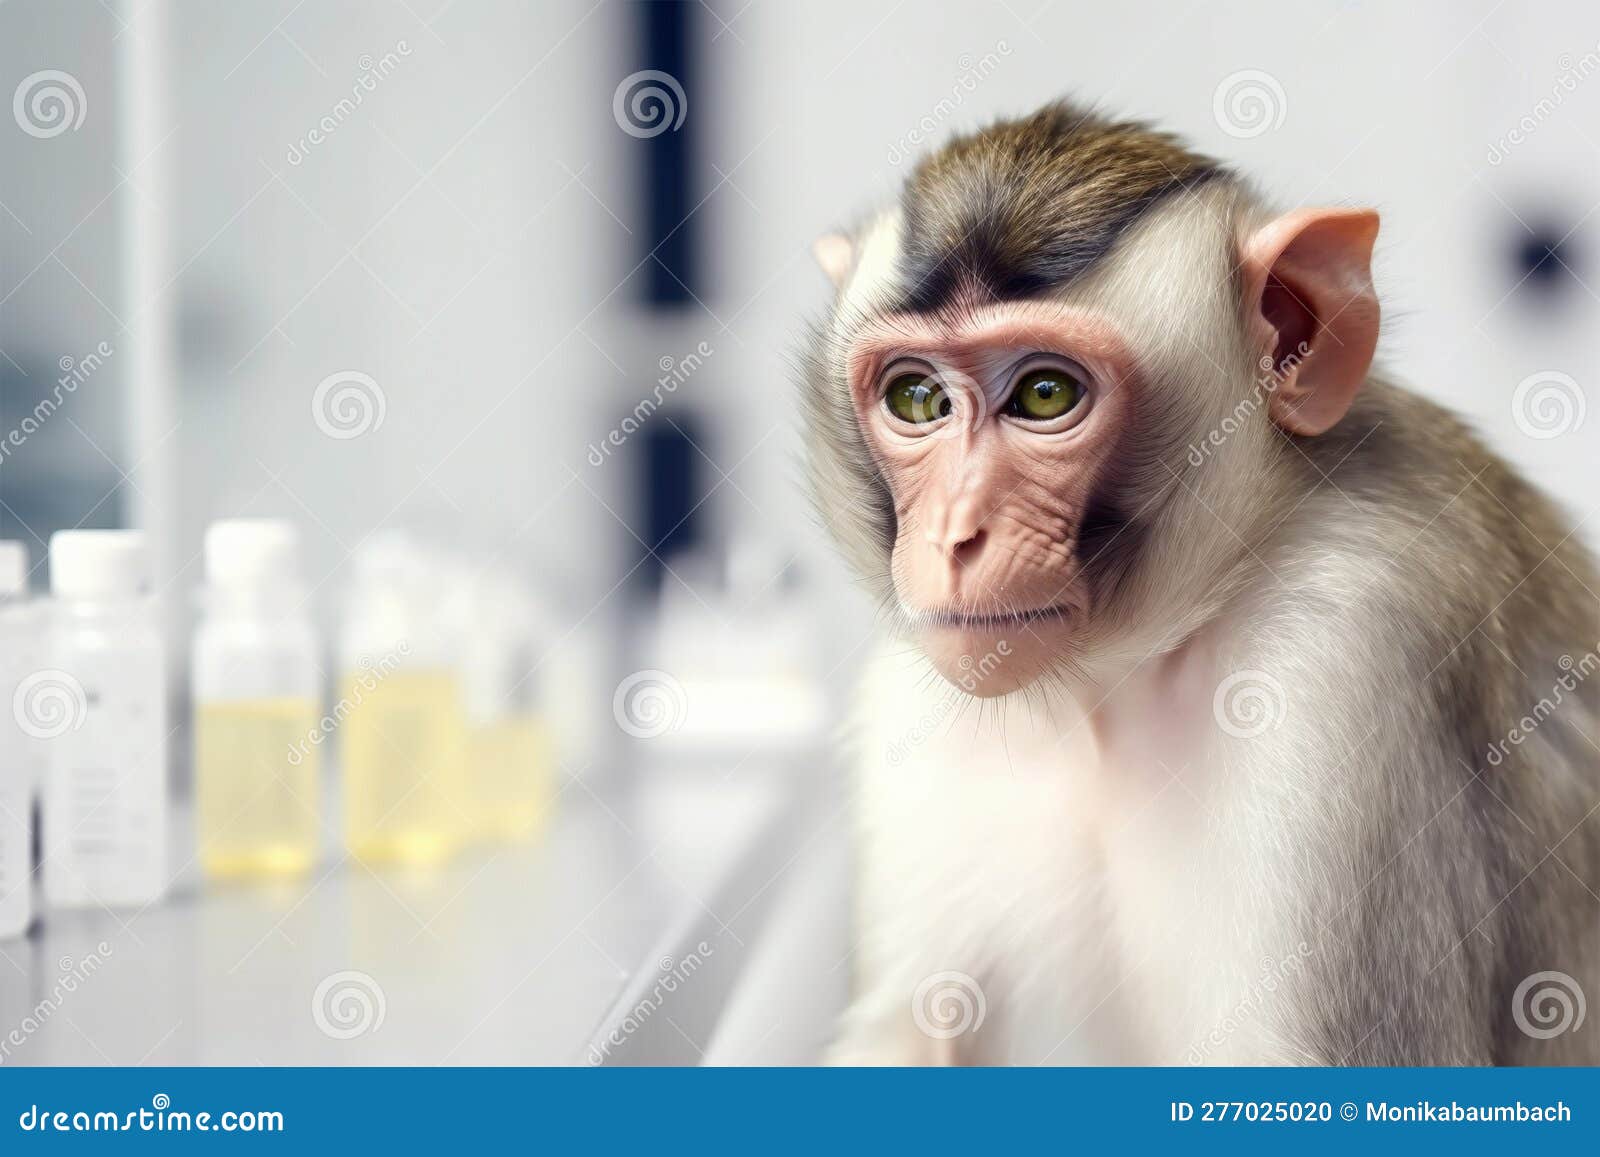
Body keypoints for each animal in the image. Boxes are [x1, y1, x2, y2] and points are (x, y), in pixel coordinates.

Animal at [800, 99, 1600, 1066]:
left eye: (1043, 394)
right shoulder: (912, 706)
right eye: (917, 400)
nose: (956, 534)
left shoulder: (1351, 661)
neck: (1113, 687)